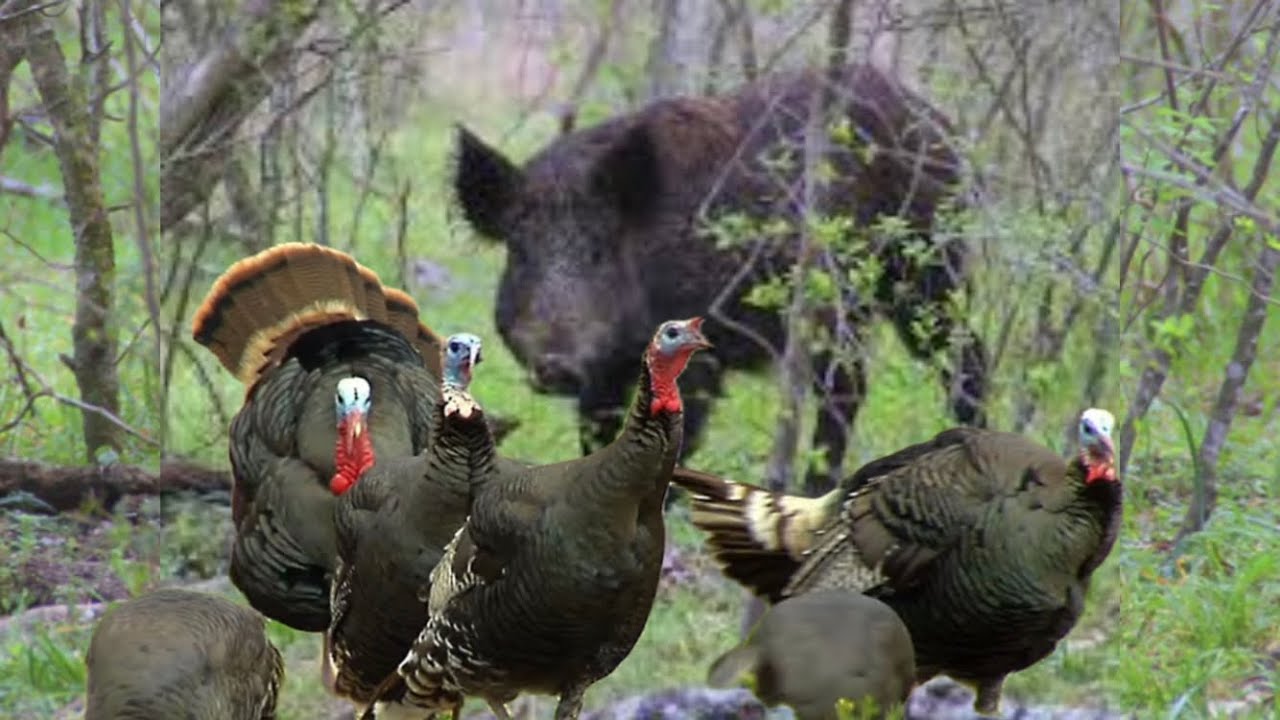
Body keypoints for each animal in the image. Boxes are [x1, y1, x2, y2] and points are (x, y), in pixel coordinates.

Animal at [453, 63, 987, 495]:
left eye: (599, 251)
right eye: (521, 251)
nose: (556, 365)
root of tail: (937, 122)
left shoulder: (699, 362)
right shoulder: (604, 375)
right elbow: (596, 437)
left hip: (930, 268)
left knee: (964, 359)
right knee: (848, 384)